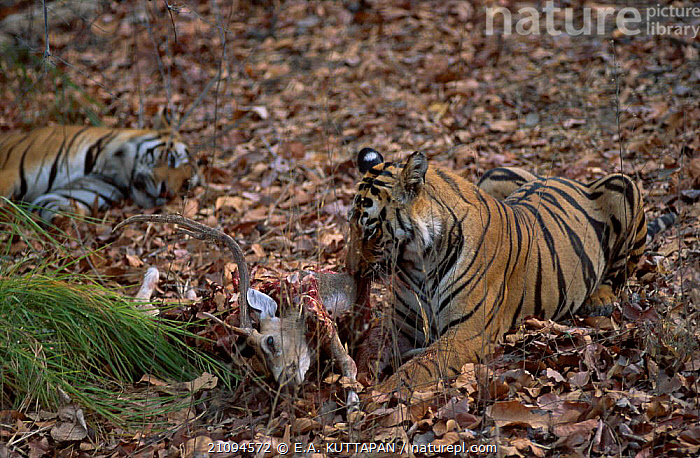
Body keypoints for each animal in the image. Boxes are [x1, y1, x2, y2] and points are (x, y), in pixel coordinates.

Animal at [347, 147, 675, 397]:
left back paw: (601, 299)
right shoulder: (401, 322)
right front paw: (358, 377)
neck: (419, 263)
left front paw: (376, 398)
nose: (350, 270)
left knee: (620, 273)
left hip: (623, 185)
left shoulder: (468, 332)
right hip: (495, 173)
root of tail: (563, 178)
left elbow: (416, 369)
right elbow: (372, 345)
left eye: (370, 229)